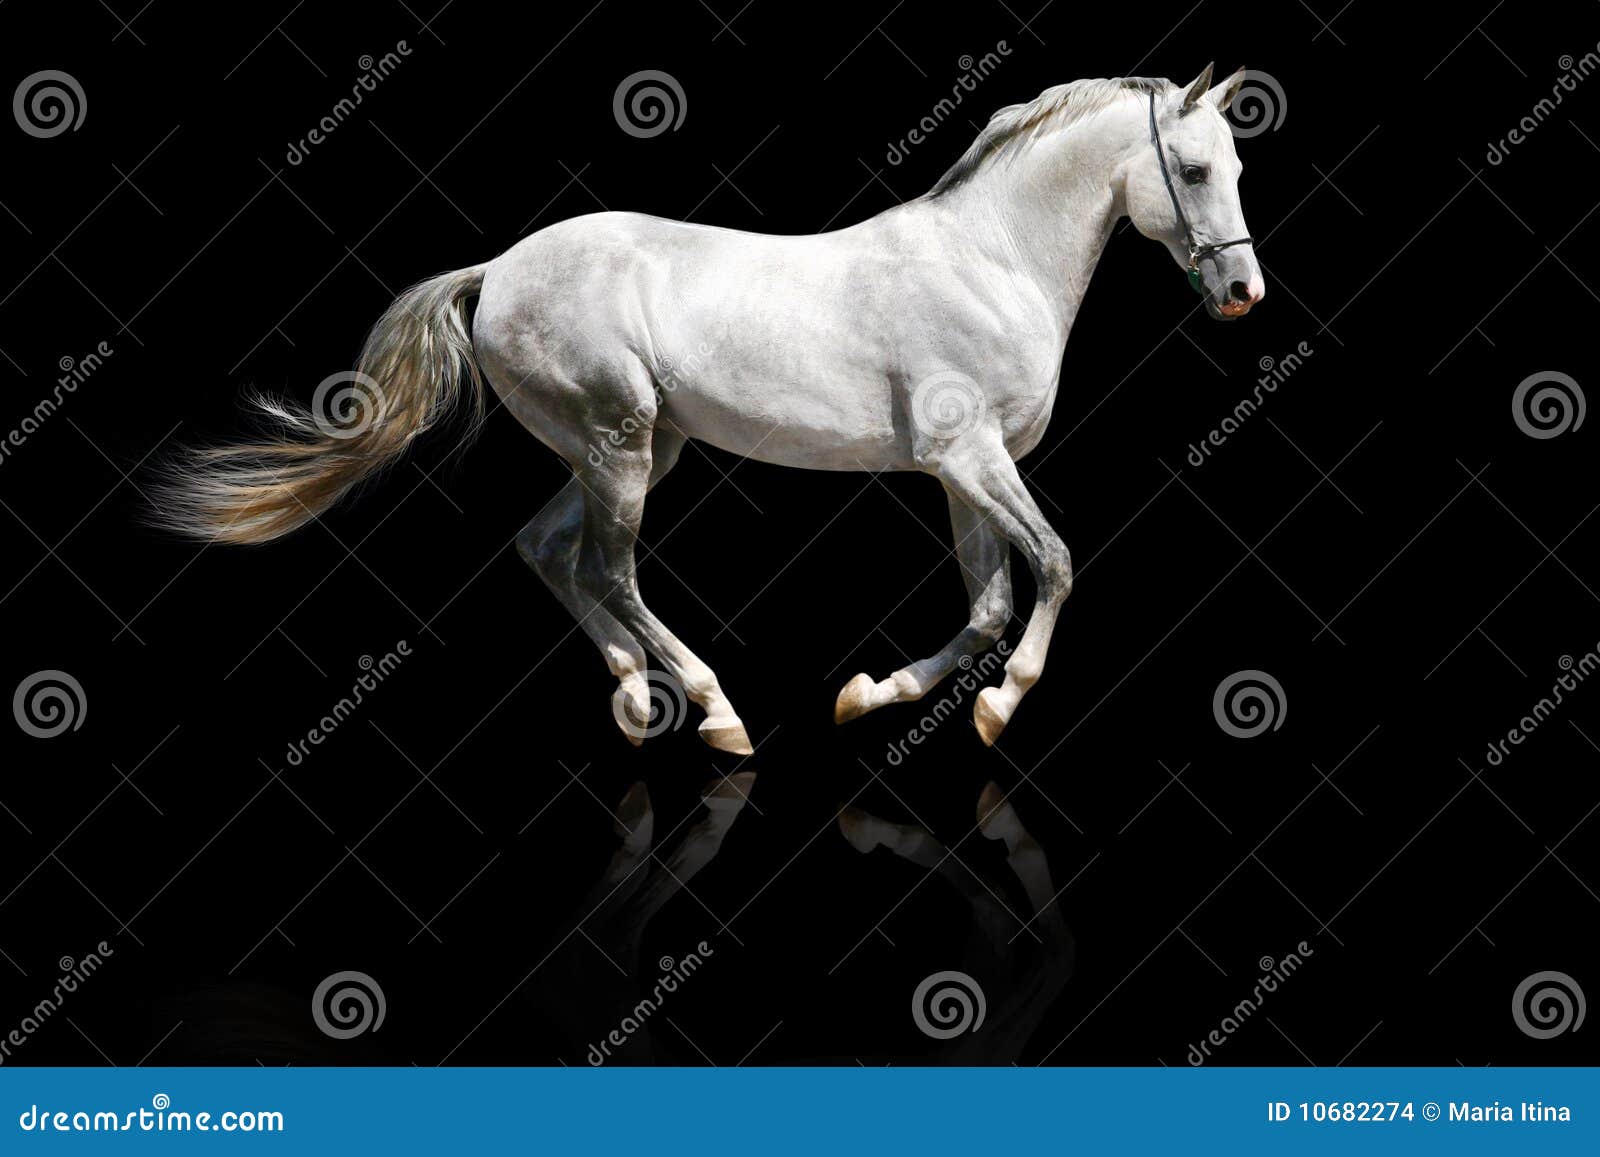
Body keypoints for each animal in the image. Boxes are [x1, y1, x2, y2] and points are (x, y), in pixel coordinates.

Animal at [158, 64, 1264, 756]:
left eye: (1241, 167)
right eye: (1195, 169)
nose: (1242, 294)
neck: (991, 262)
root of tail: (498, 269)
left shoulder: (961, 471)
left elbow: (989, 599)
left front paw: (870, 695)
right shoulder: (972, 458)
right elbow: (1057, 565)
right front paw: (1001, 708)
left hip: (636, 450)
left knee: (546, 550)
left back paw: (631, 695)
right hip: (620, 448)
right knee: (608, 567)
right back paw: (716, 712)